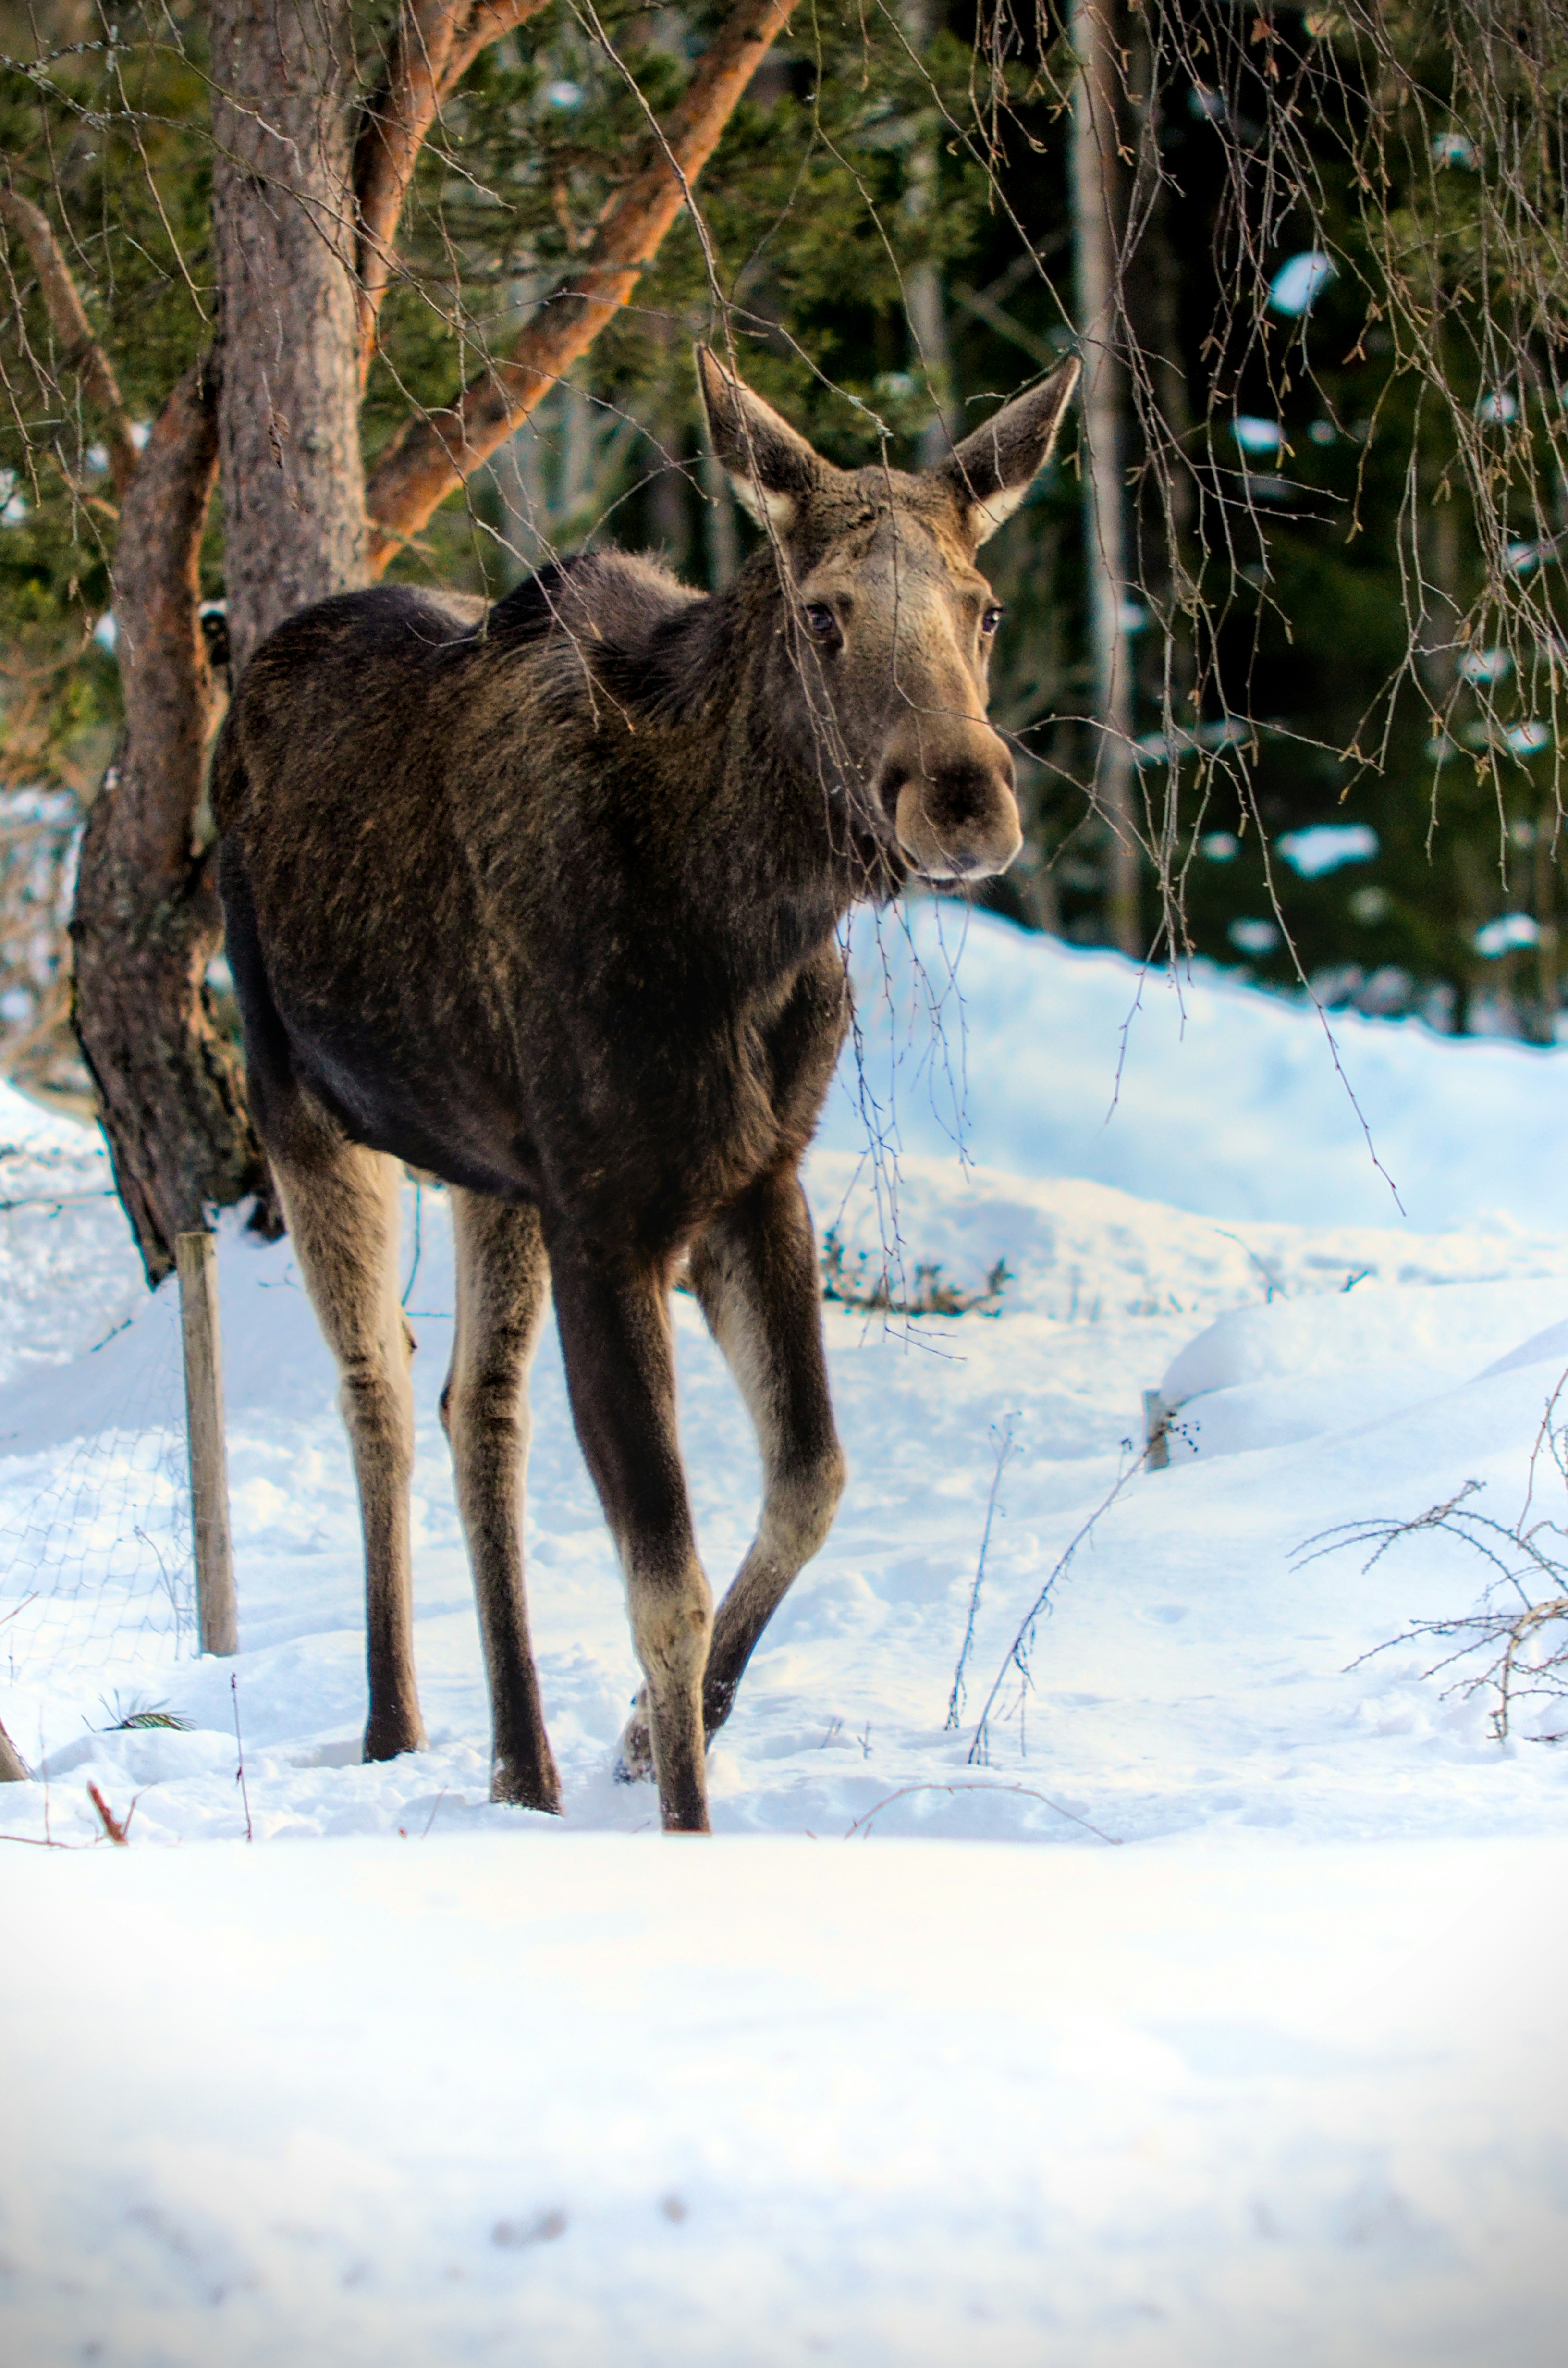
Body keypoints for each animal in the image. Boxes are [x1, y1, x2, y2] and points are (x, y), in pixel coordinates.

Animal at [212, 347, 1079, 1833]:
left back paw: (524, 1763)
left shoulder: (751, 1183)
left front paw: (639, 1737)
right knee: (377, 1391)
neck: (747, 924)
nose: (965, 796)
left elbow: (812, 1482)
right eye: (824, 613)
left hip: (492, 1173)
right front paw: (683, 1817)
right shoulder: (611, 1215)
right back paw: (395, 1726)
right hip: (300, 1104)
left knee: (477, 1410)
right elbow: (661, 1586)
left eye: (984, 607)